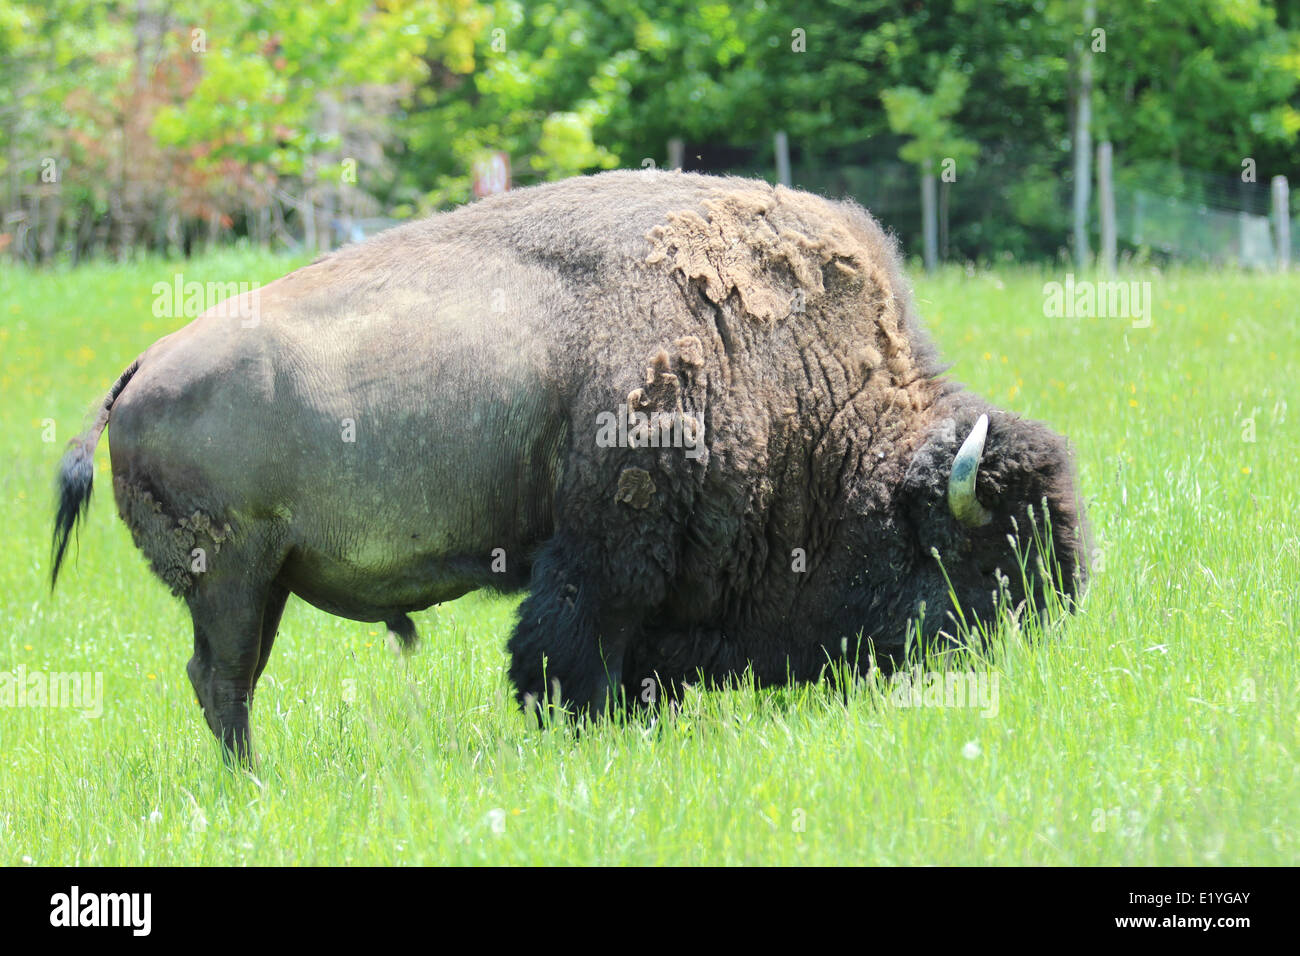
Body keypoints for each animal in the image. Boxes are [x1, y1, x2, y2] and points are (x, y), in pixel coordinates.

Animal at [51, 171, 1087, 761]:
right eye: (979, 560)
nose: (1026, 645)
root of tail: (136, 375)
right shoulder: (604, 550)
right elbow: (570, 651)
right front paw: (581, 729)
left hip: (258, 584)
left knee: (223, 679)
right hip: (232, 577)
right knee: (223, 681)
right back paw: (252, 787)